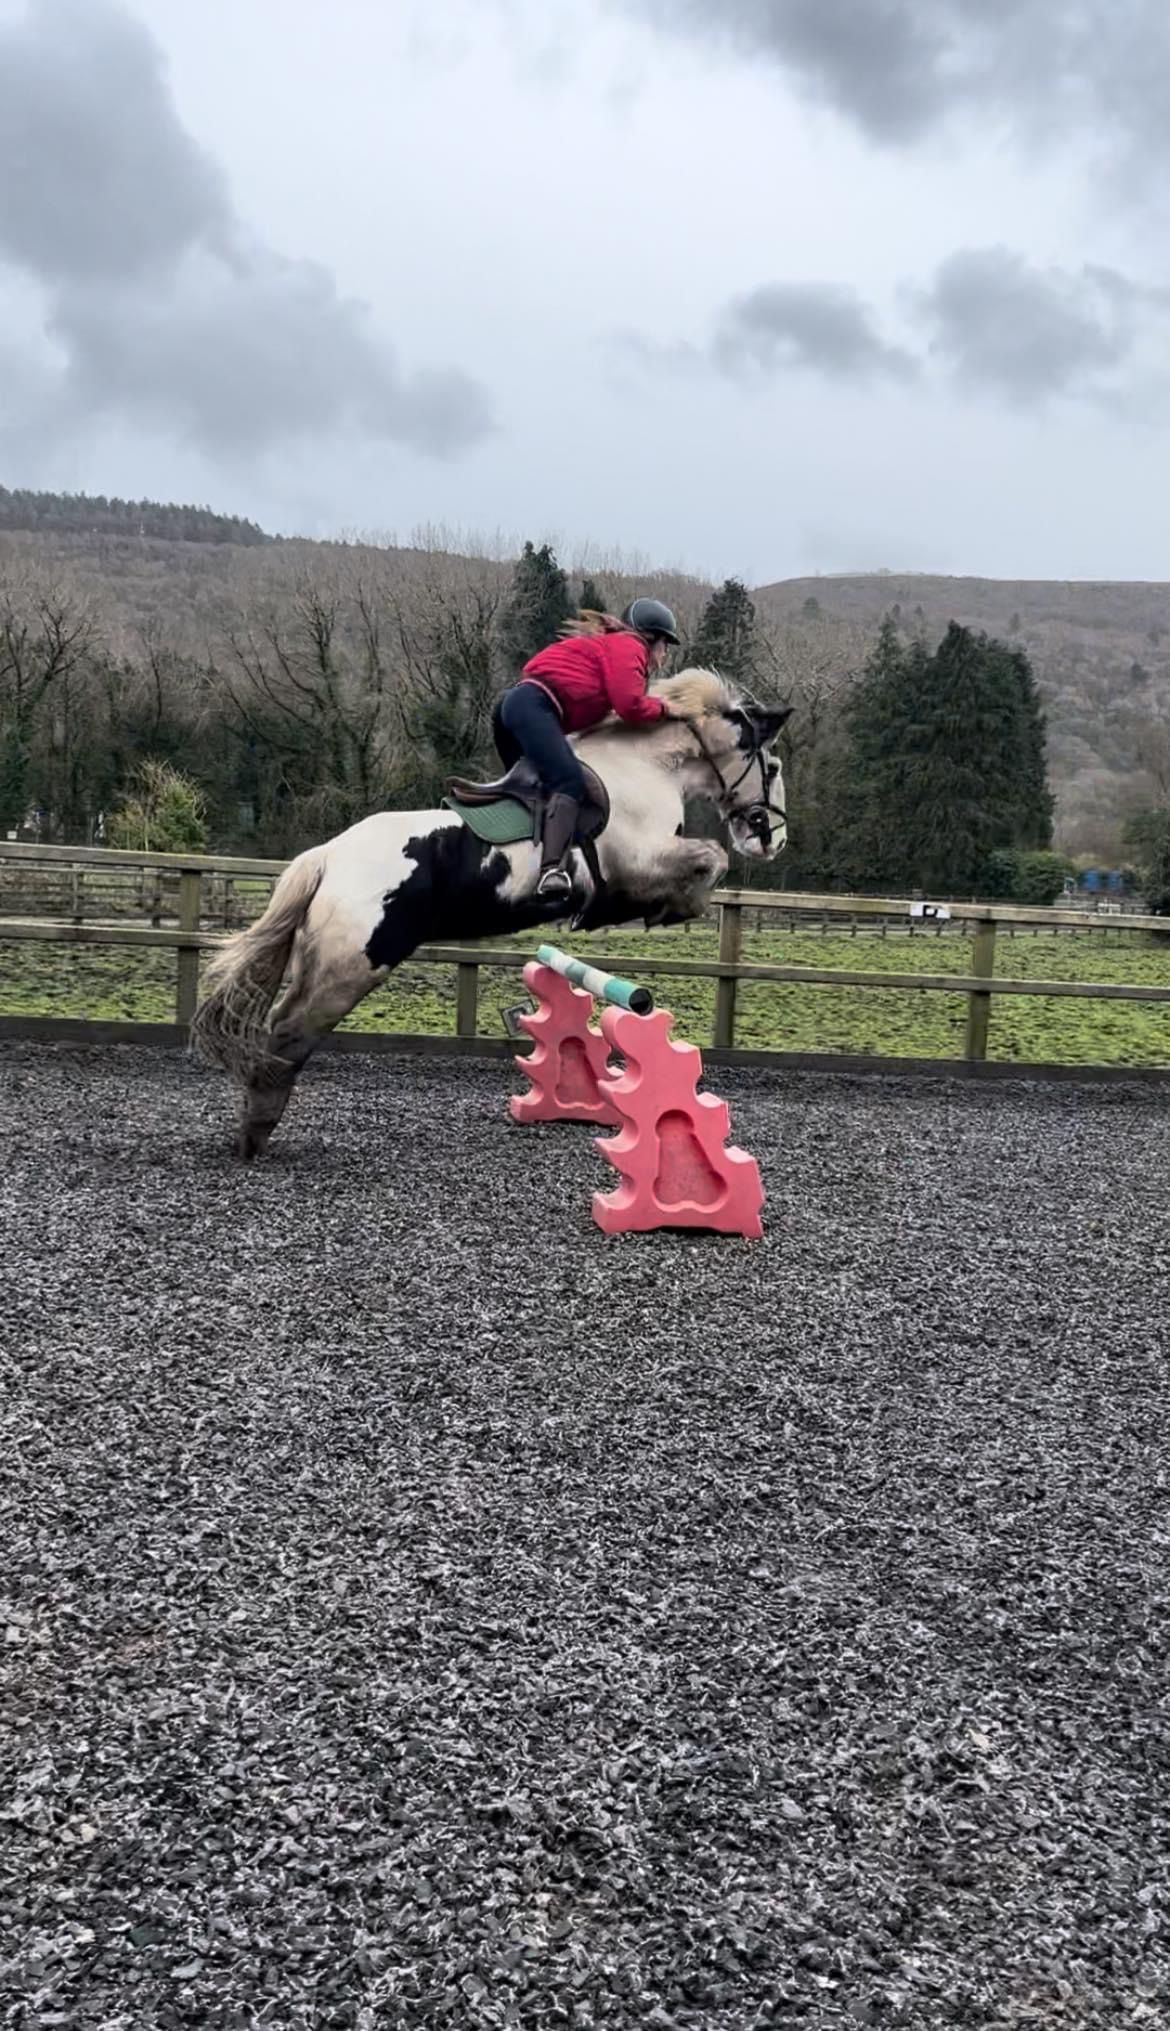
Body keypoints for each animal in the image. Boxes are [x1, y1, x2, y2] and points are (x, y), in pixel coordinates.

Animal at [190, 668, 791, 1158]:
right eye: (774, 764)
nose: (773, 840)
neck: (646, 768)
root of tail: (327, 856)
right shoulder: (638, 862)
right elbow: (709, 859)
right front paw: (675, 907)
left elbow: (705, 860)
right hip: (355, 963)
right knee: (290, 1032)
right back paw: (257, 1131)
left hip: (326, 960)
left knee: (282, 1024)